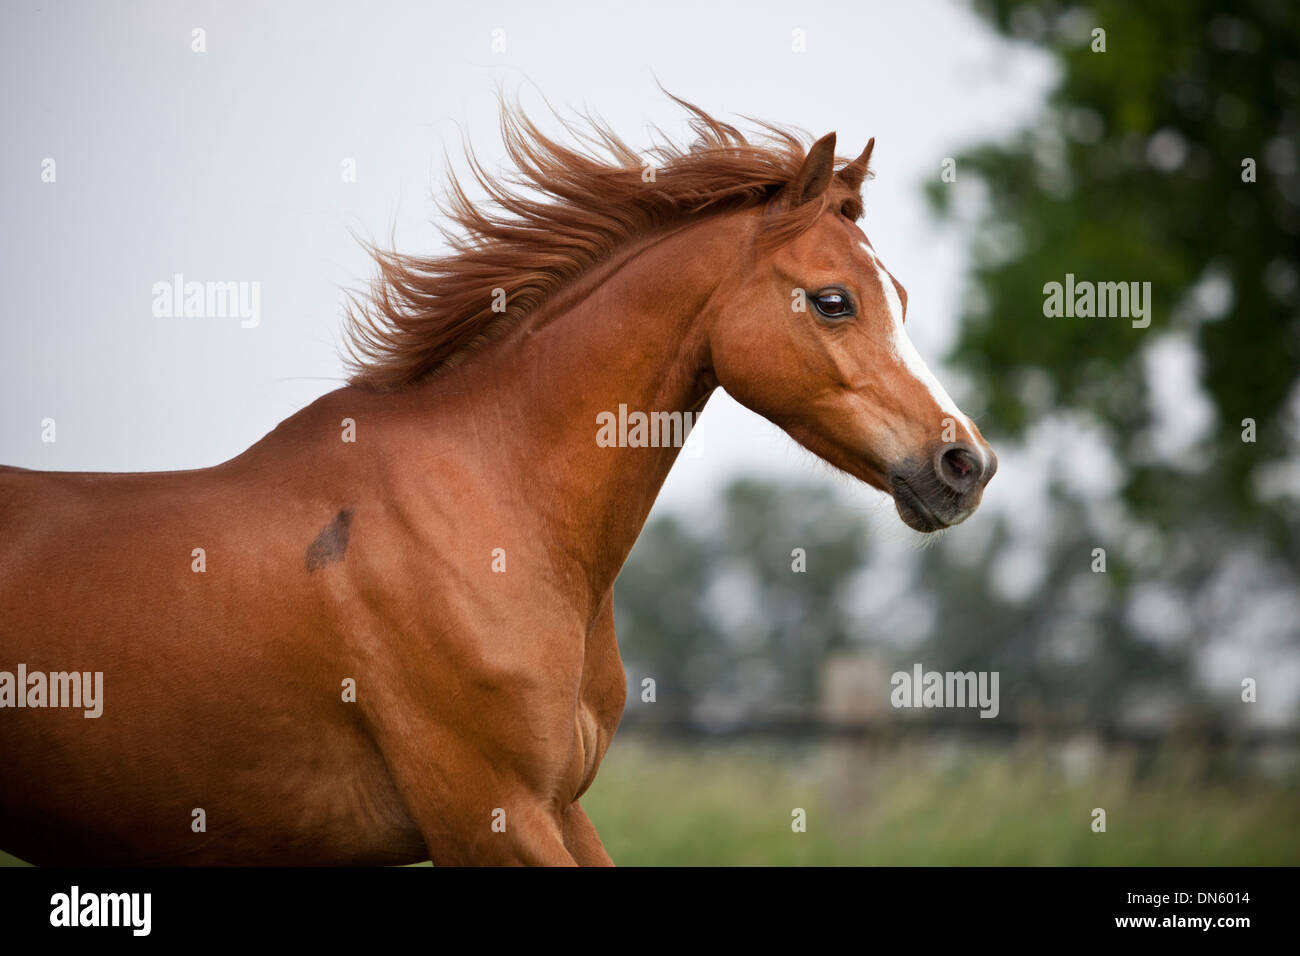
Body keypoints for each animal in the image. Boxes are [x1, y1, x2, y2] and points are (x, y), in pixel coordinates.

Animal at [0, 98, 996, 865]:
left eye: (901, 297)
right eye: (833, 300)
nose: (967, 465)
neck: (492, 511)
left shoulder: (560, 807)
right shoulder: (492, 815)